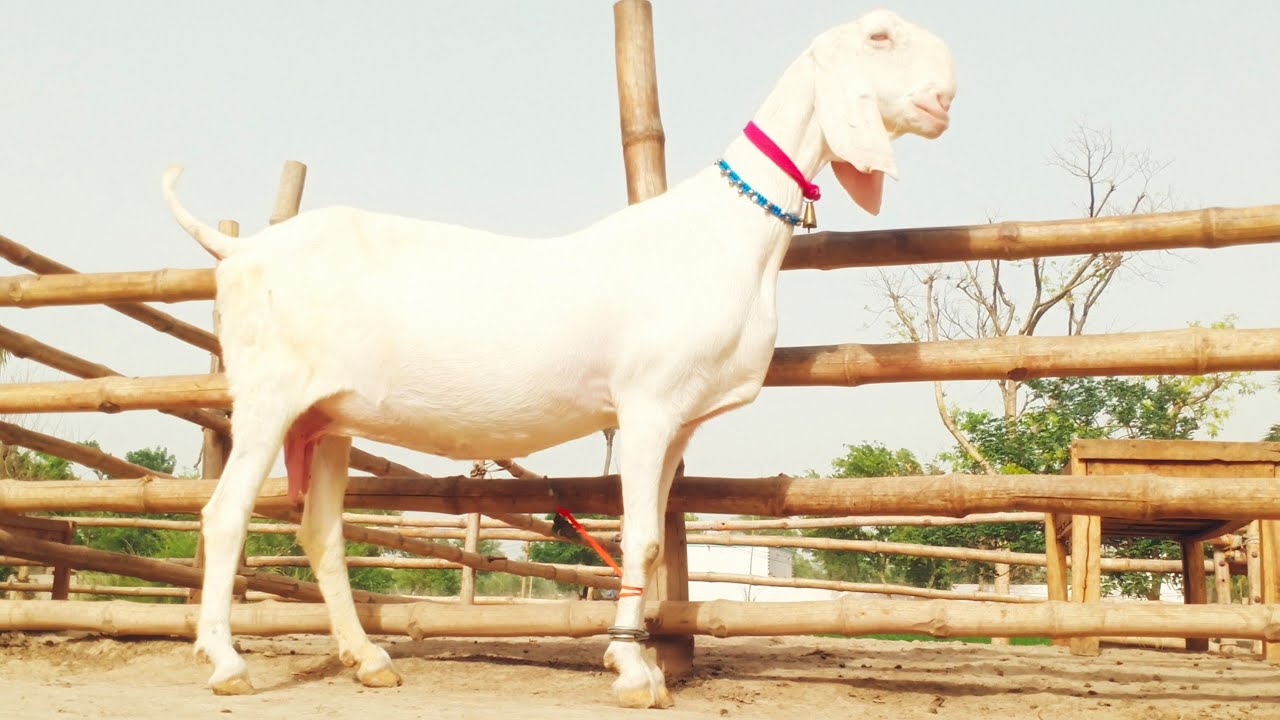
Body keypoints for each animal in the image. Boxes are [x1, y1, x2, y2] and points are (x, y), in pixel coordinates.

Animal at [162, 7, 955, 709]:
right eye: (879, 35)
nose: (944, 97)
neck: (721, 231)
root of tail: (239, 249)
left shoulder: (678, 422)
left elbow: (654, 546)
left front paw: (633, 657)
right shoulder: (647, 405)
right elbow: (640, 540)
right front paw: (634, 673)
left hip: (327, 416)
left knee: (320, 533)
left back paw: (369, 660)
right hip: (269, 393)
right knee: (225, 514)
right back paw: (227, 663)